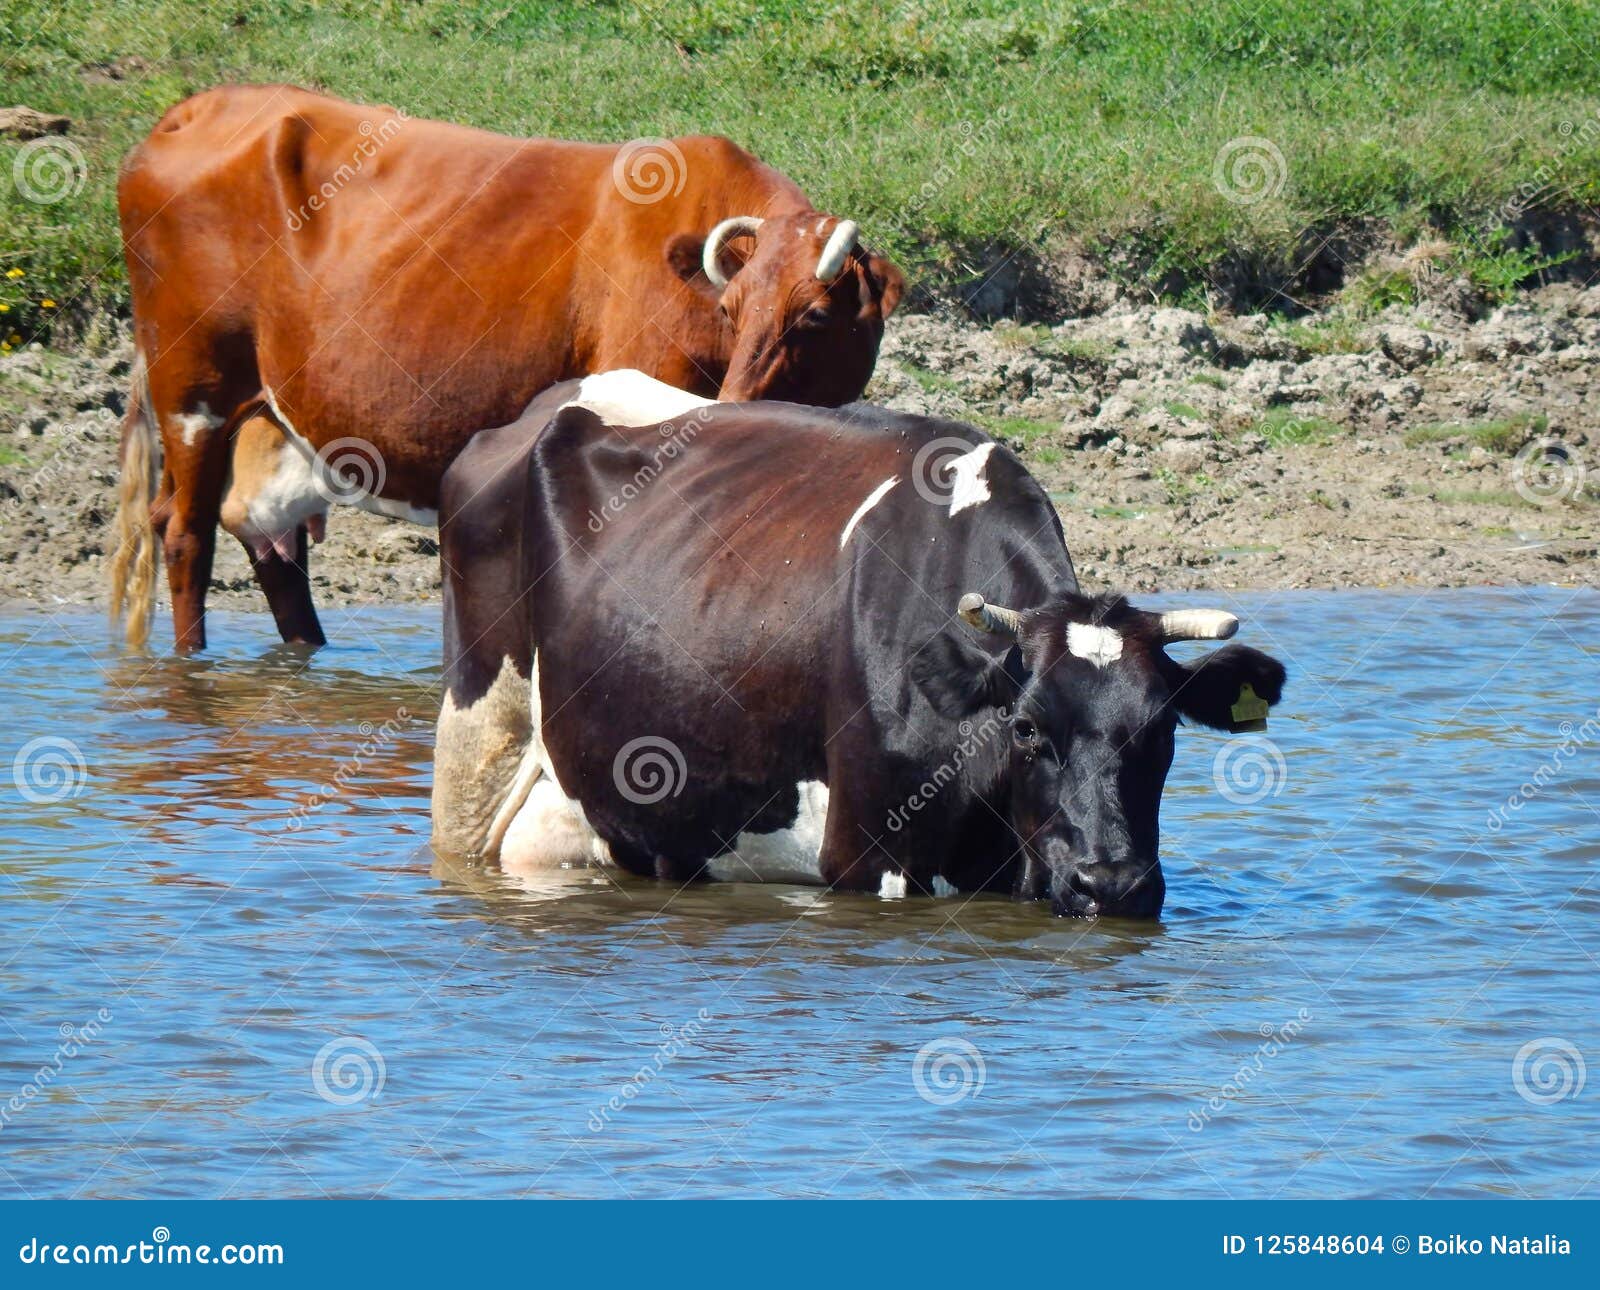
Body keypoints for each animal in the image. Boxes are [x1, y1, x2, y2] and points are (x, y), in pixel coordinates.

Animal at [108, 84, 903, 652]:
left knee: (268, 540)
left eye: (815, 316)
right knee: (186, 533)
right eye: (732, 309)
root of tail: (195, 107)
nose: (738, 402)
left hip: (261, 415)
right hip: (193, 388)